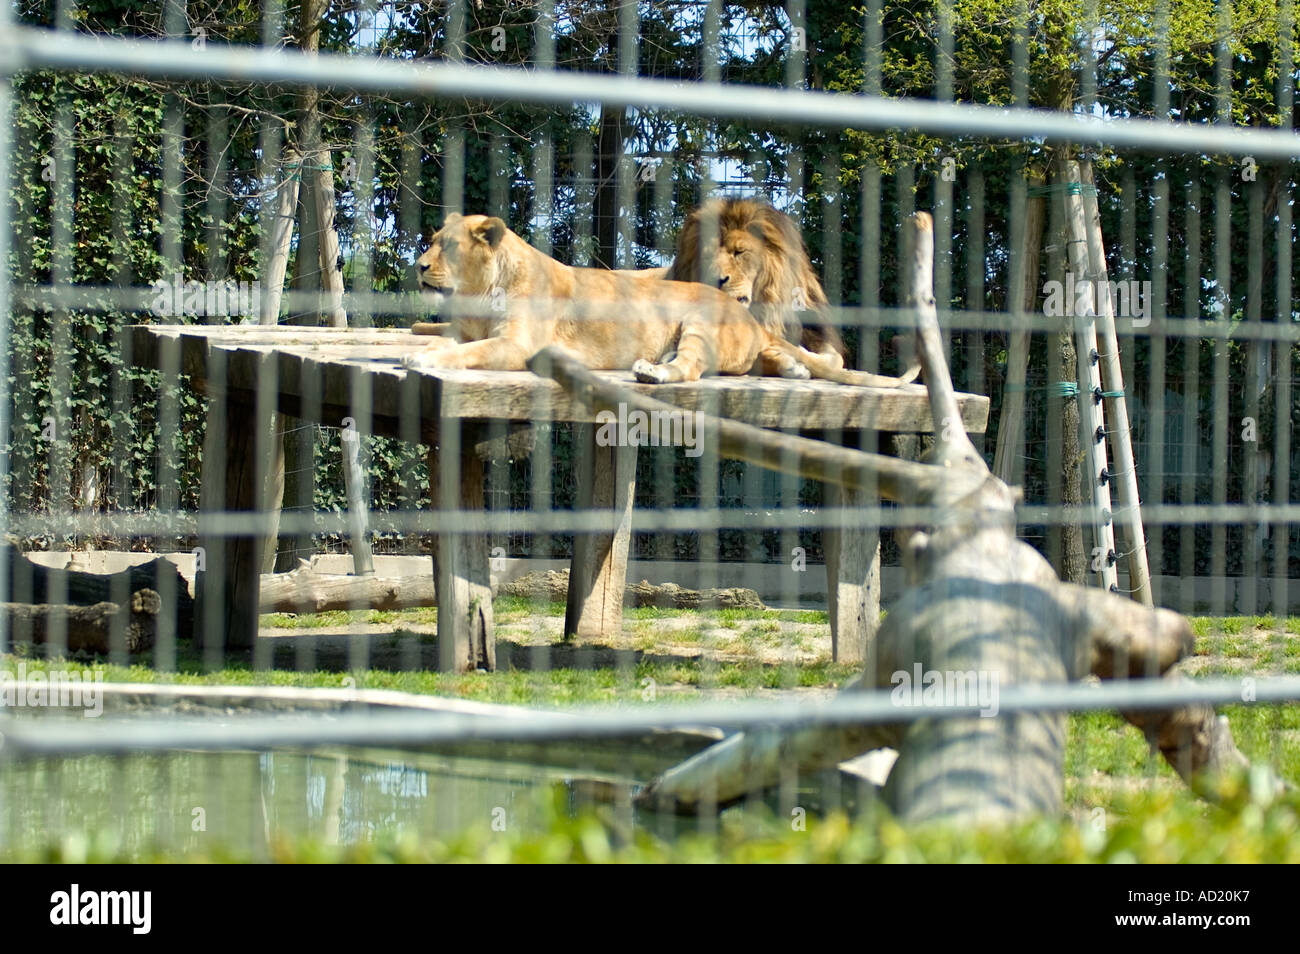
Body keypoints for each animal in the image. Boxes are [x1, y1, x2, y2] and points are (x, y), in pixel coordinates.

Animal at [402, 213, 922, 389]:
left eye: (447, 246)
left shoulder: (517, 345)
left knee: (691, 368)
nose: (419, 266)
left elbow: (470, 352)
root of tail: (747, 315)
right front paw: (420, 351)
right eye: (431, 241)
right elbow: (447, 342)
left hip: (698, 323)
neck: (474, 294)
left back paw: (653, 371)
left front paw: (422, 359)